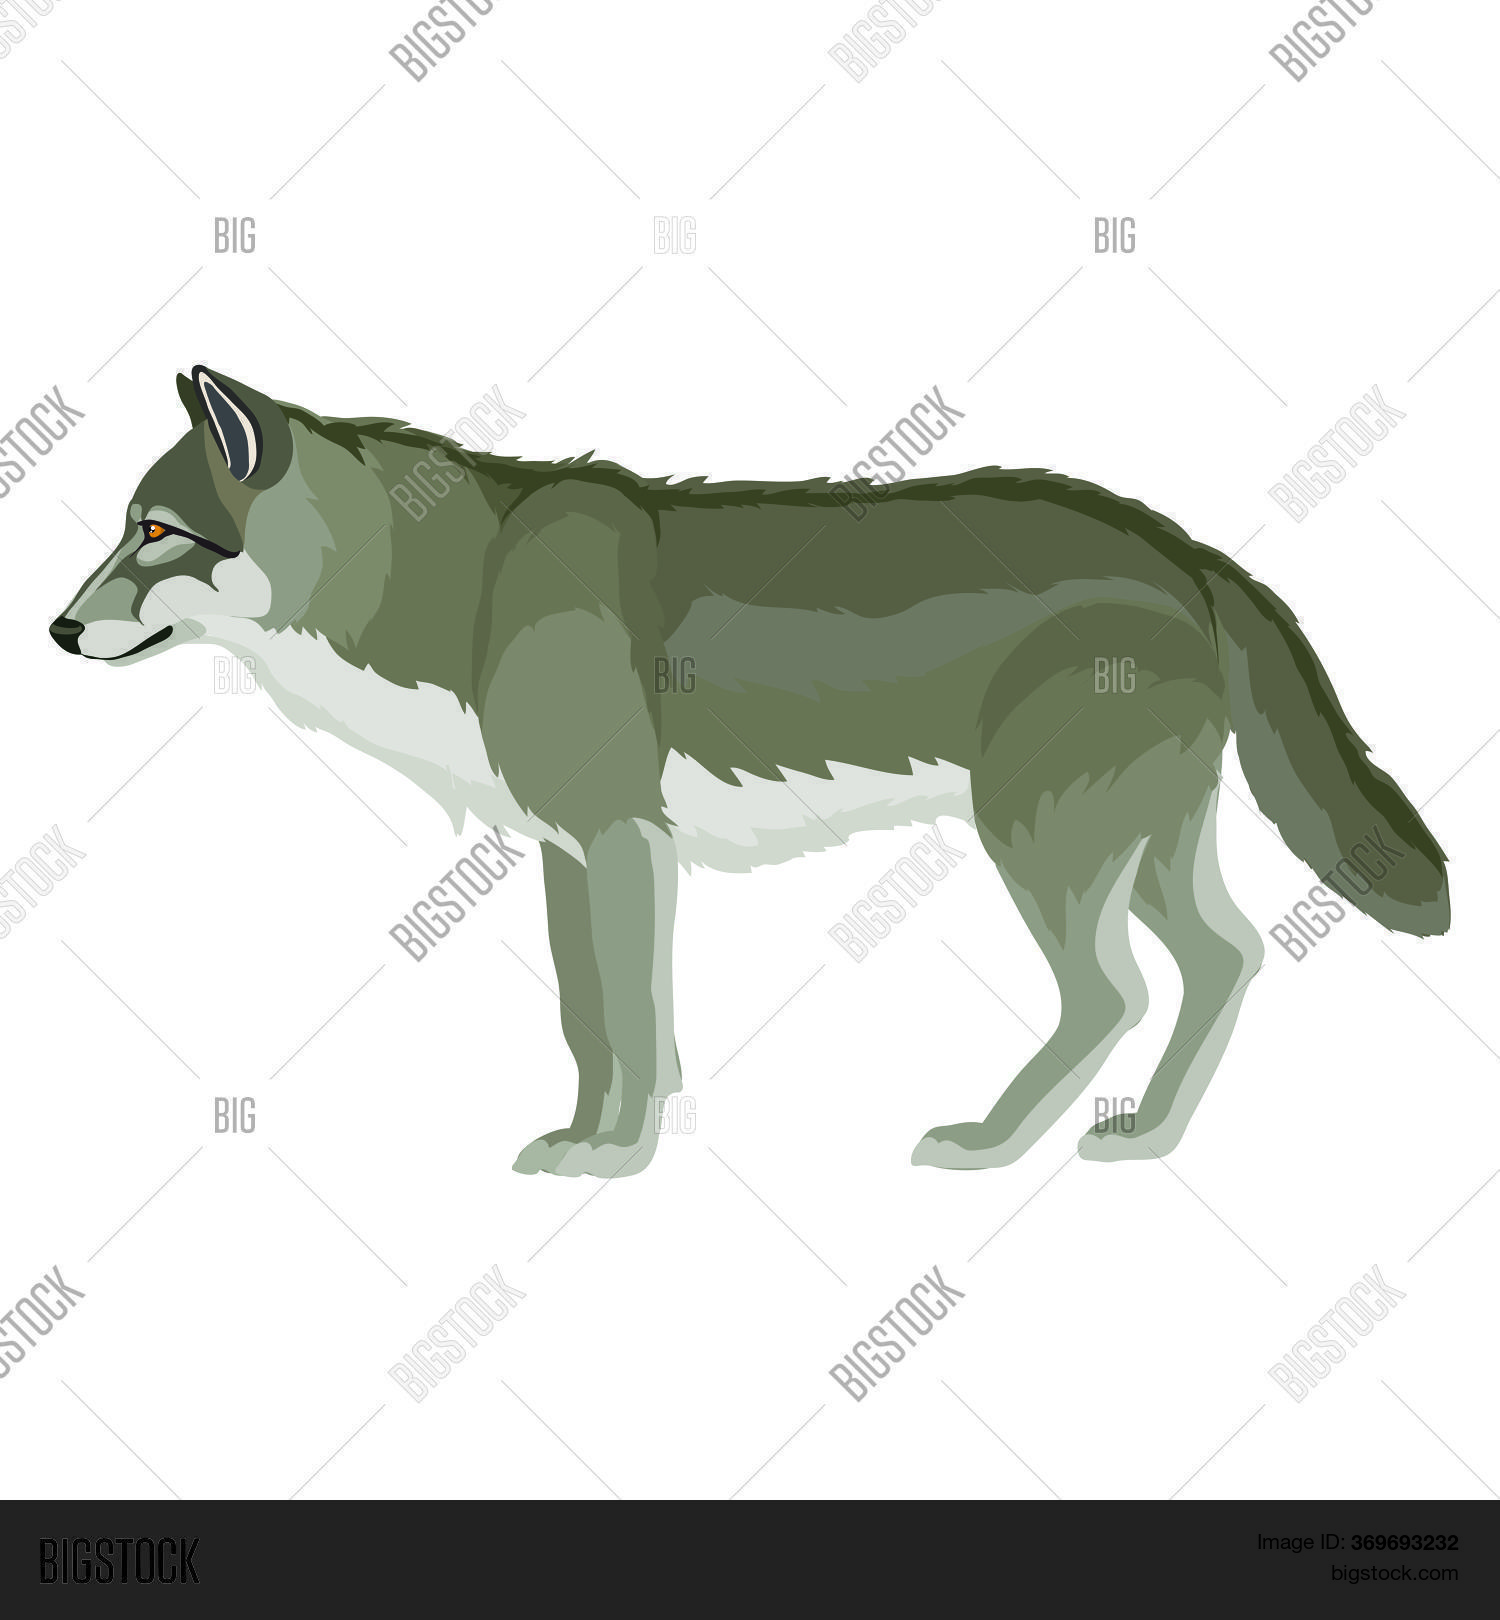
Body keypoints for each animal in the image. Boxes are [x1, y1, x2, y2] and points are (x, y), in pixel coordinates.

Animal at [51, 367, 1449, 1177]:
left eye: (158, 533)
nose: (59, 633)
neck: (465, 592)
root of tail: (1186, 545)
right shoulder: (572, 854)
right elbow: (592, 1022)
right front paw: (589, 1137)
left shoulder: (625, 844)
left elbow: (634, 1019)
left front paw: (617, 1162)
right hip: (1133, 849)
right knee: (1227, 958)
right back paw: (1151, 1138)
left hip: (1042, 850)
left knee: (1115, 995)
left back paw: (995, 1145)